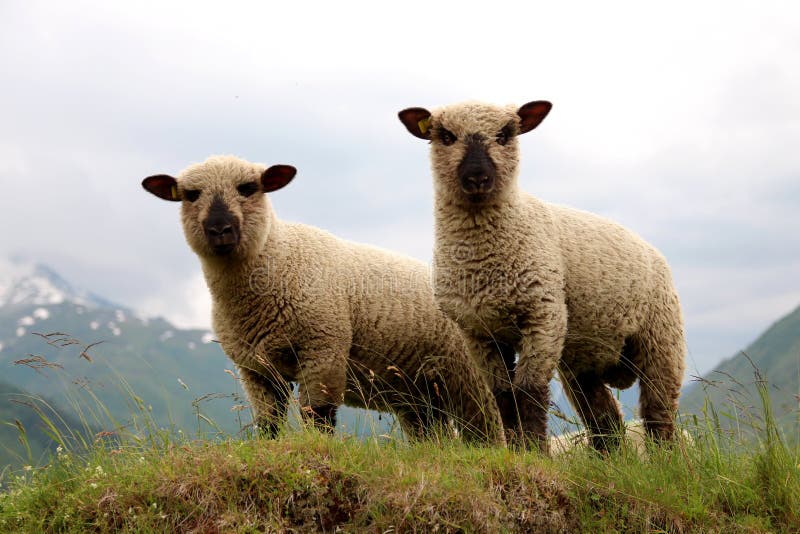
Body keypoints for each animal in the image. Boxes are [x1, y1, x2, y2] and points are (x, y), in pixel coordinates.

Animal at [141, 155, 505, 445]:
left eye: (248, 188)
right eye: (190, 195)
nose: (220, 230)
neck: (279, 256)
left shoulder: (324, 348)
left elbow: (318, 415)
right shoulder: (256, 368)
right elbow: (269, 423)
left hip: (471, 380)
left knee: (487, 432)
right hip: (420, 392)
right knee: (432, 435)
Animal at [398, 101, 686, 452]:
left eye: (505, 135)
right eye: (447, 136)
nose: (478, 178)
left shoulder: (543, 315)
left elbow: (529, 390)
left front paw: (536, 450)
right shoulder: (478, 332)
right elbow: (503, 395)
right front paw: (516, 450)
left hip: (661, 338)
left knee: (659, 414)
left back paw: (664, 457)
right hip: (582, 359)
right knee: (605, 420)